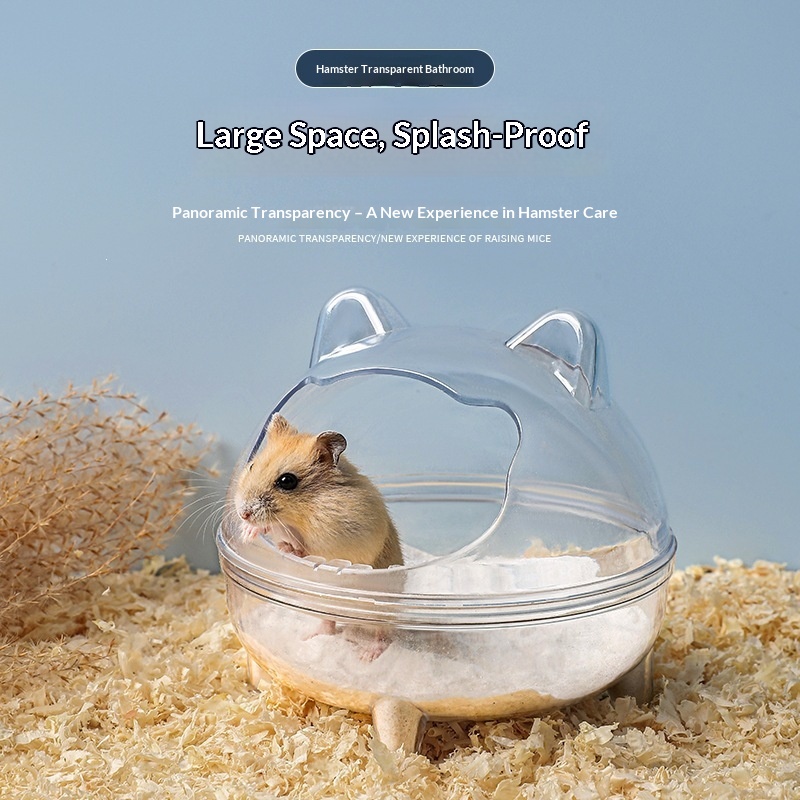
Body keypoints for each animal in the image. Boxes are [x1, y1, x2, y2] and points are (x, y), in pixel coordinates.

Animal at [234, 414, 404, 570]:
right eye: (252, 466)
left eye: (287, 481)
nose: (243, 514)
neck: (309, 505)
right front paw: (247, 533)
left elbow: (292, 536)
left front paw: (285, 545)